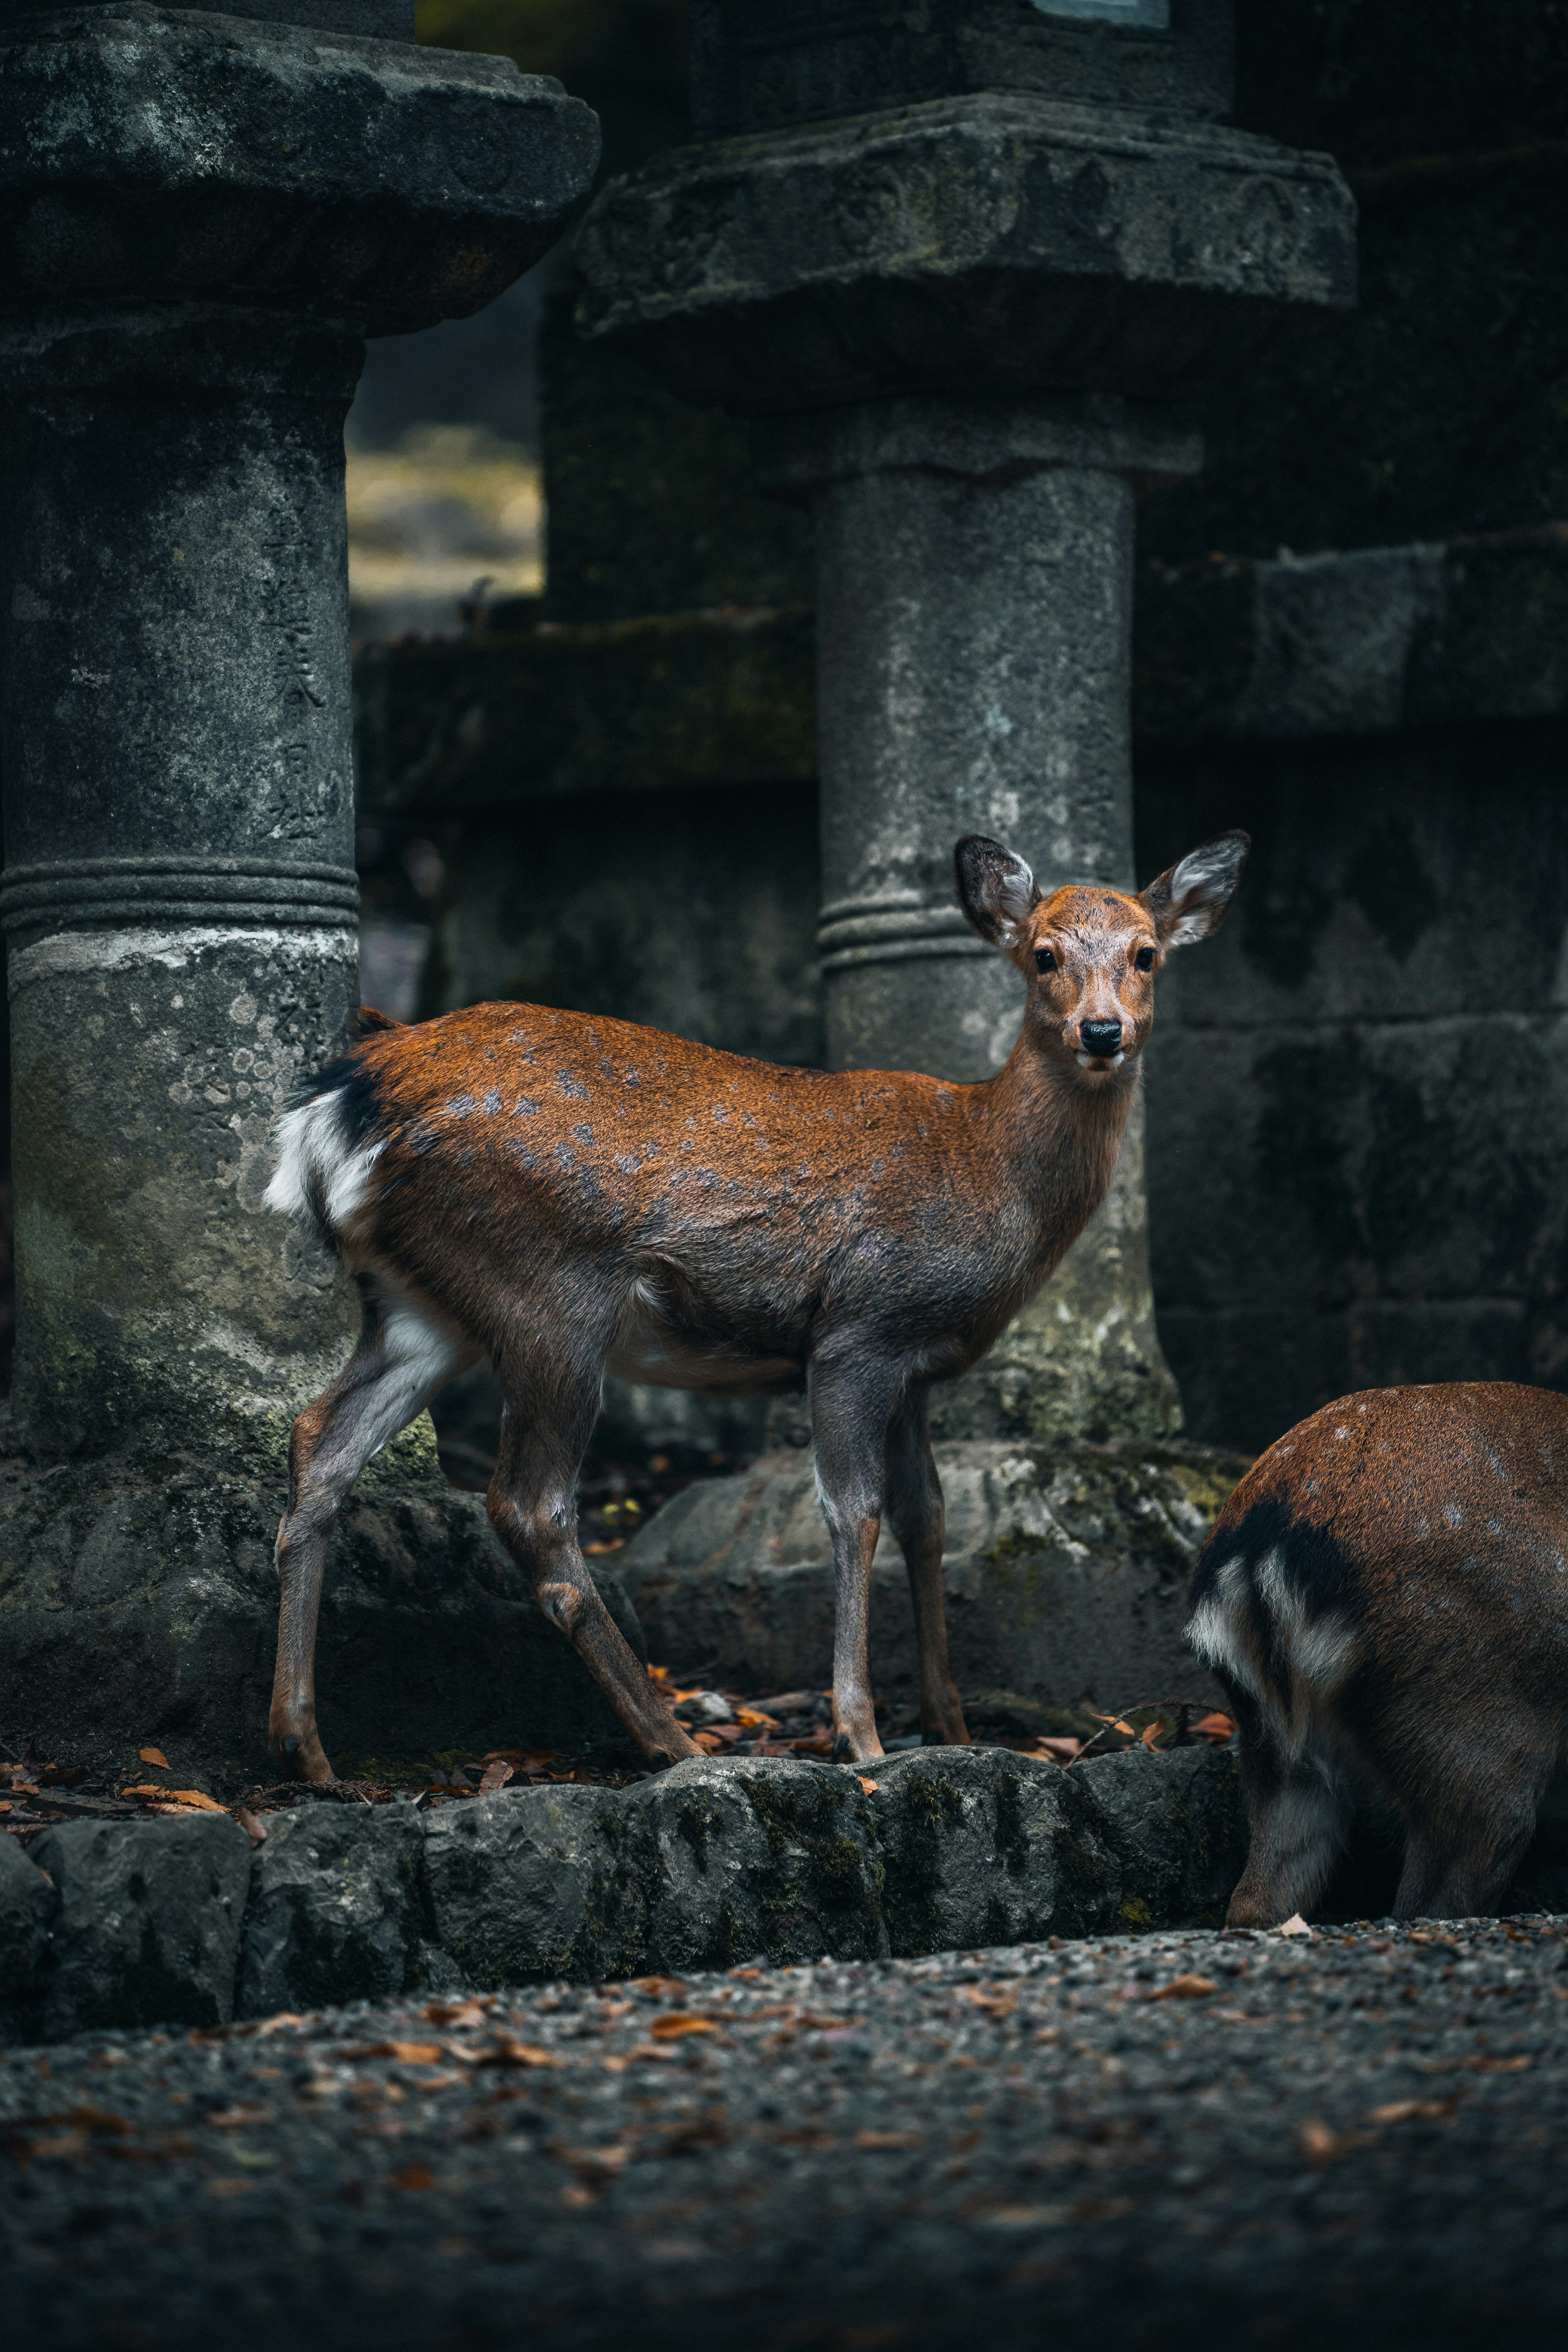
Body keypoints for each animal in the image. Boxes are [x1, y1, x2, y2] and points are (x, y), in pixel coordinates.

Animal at [263, 825, 1249, 1783]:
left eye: (1147, 953)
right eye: (1043, 954)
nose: (1101, 1030)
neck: (986, 1167)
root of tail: (347, 1099)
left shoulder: (916, 1367)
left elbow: (929, 1519)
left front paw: (952, 1723)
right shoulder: (858, 1328)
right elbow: (853, 1514)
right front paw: (860, 1736)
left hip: (421, 1306)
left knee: (322, 1441)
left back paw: (305, 1747)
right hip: (545, 1290)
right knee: (528, 1506)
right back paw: (671, 1740)